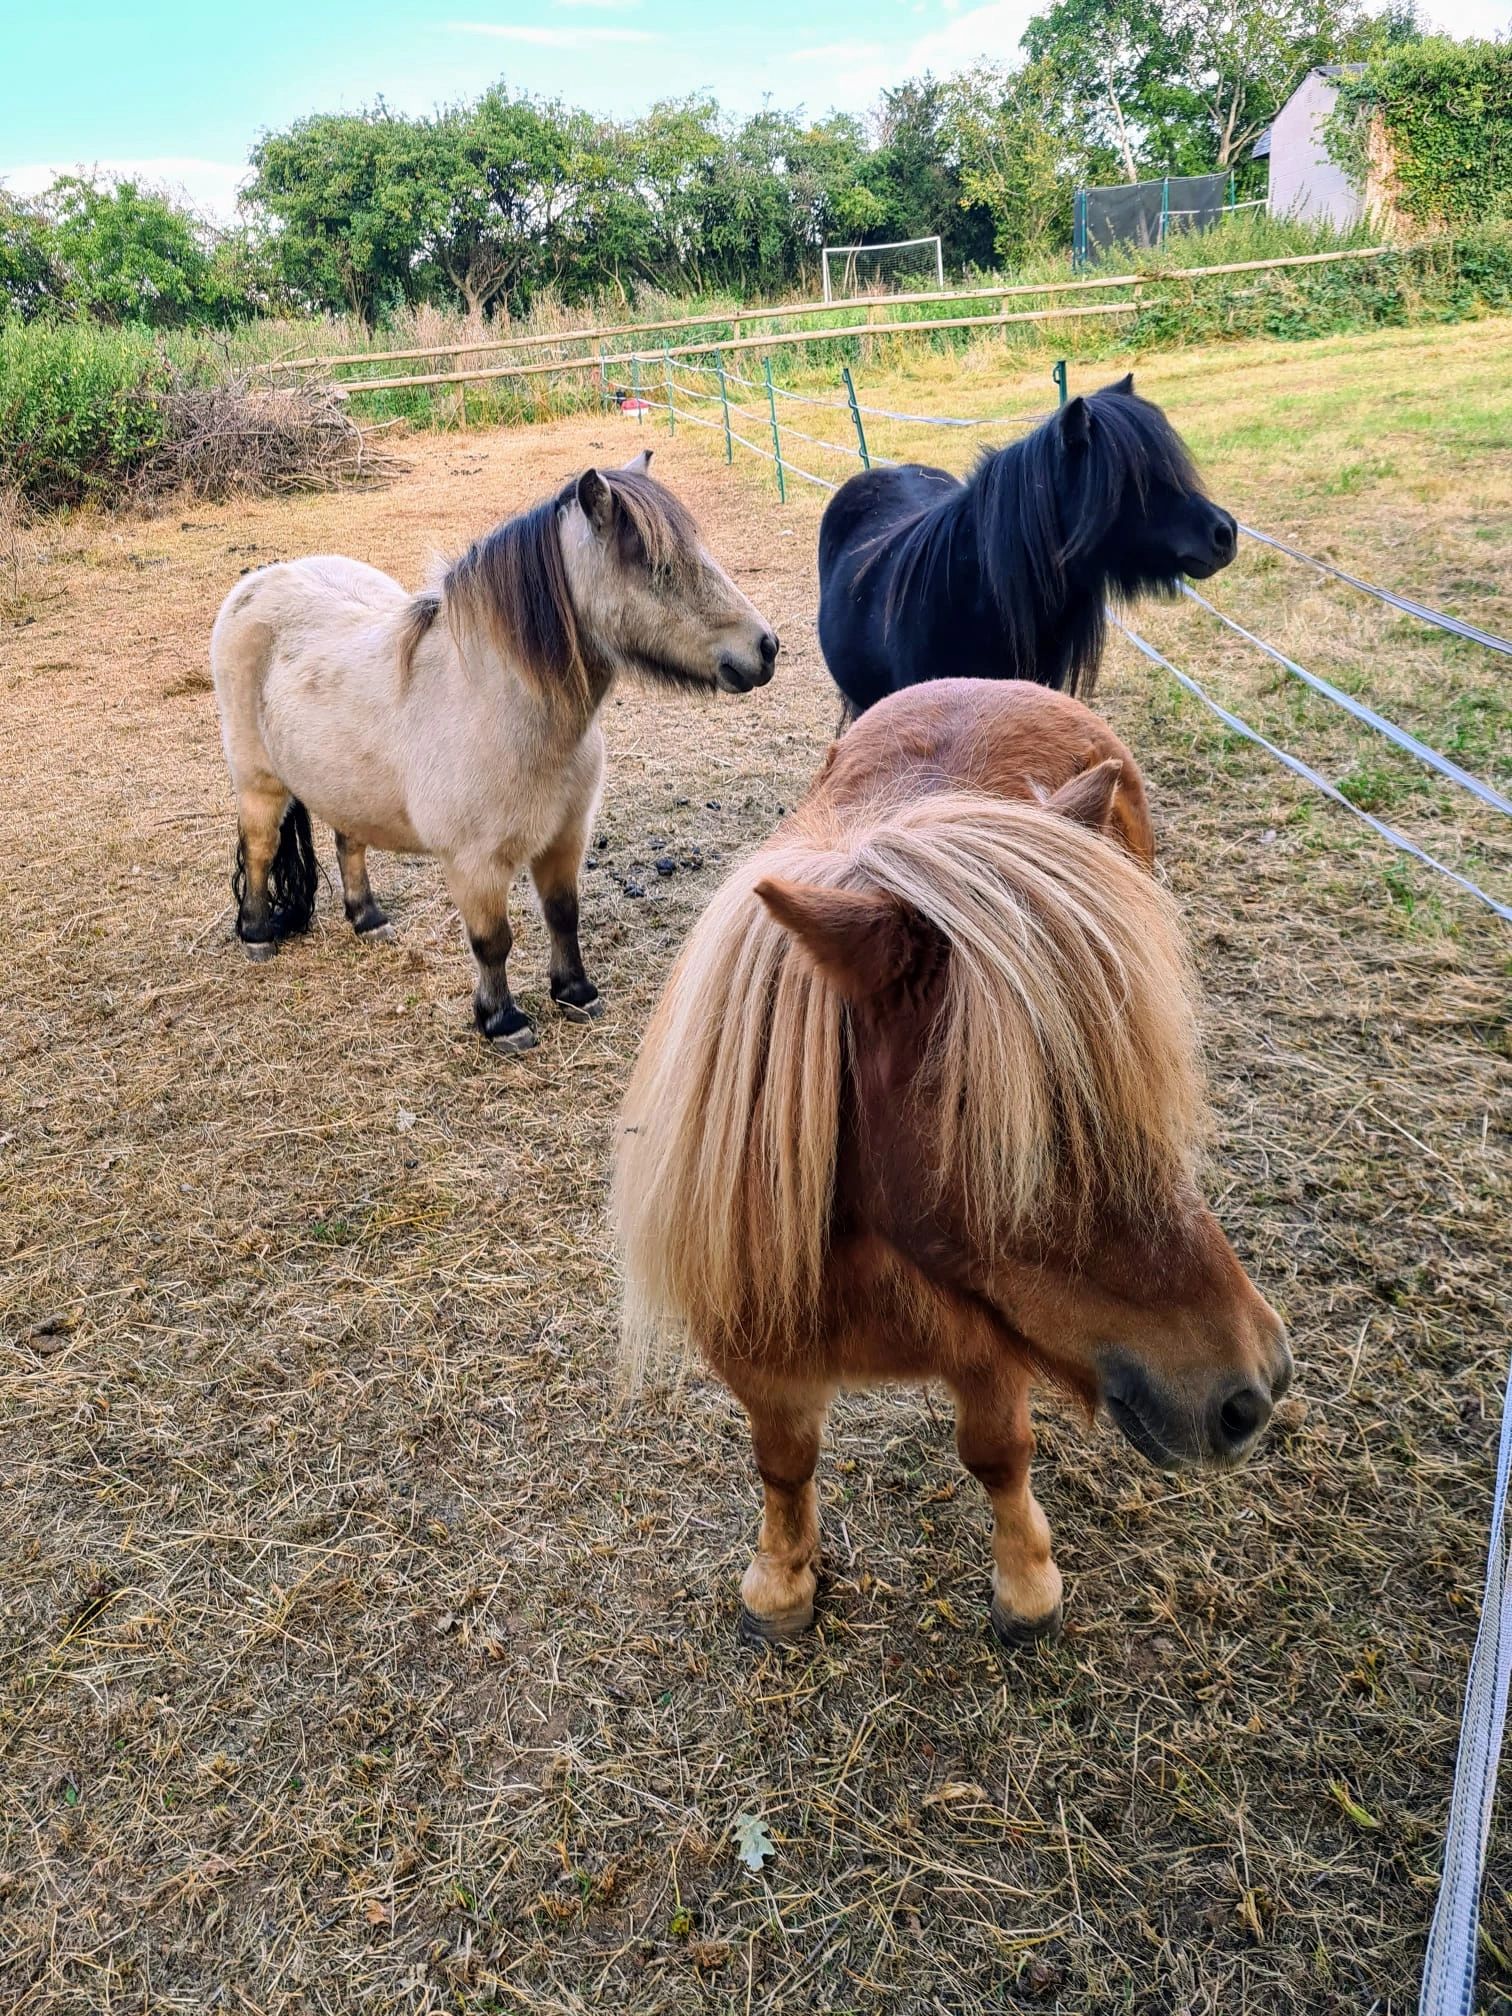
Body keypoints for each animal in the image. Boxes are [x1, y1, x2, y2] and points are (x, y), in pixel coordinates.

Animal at [210, 451, 779, 1051]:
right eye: (654, 565)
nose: (765, 647)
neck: (500, 705)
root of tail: (262, 581)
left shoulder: (564, 838)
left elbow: (563, 914)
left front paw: (575, 993)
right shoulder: (475, 864)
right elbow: (492, 941)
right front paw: (502, 1020)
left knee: (349, 842)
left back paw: (367, 918)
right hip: (259, 783)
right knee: (260, 849)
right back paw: (257, 932)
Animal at [615, 681, 1290, 1651]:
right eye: (1019, 1134)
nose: (1256, 1385)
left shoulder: (995, 1338)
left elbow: (998, 1454)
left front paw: (1027, 1586)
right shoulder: (762, 1353)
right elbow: (783, 1461)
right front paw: (780, 1581)